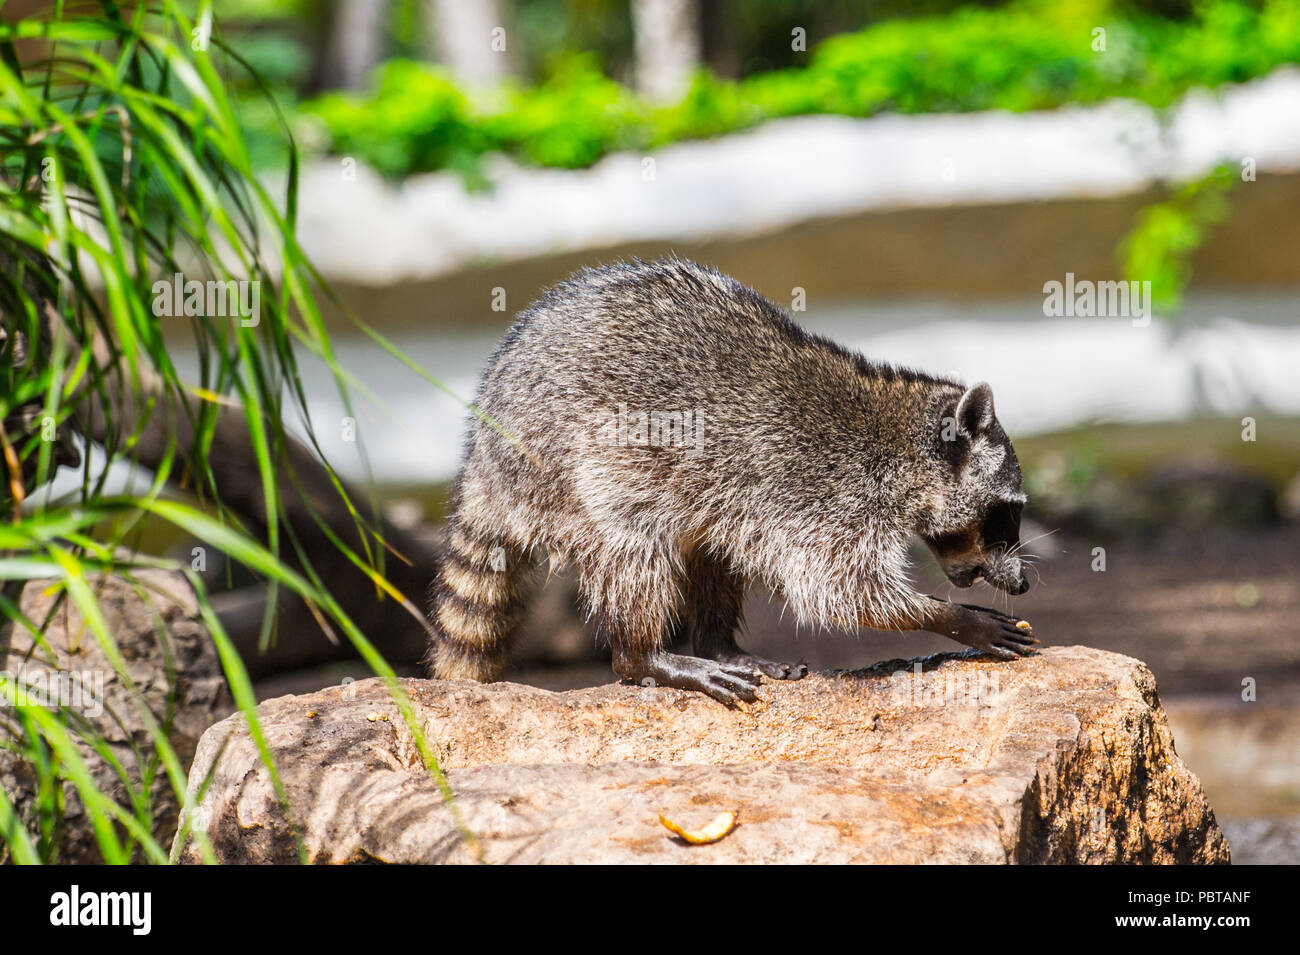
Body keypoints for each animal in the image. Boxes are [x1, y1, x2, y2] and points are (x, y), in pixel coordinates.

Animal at [427, 257, 1037, 704]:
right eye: (1007, 512)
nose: (1023, 583)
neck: (903, 444)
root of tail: (482, 447)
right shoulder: (827, 493)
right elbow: (842, 591)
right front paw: (955, 618)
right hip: (572, 468)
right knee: (634, 548)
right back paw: (646, 656)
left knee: (708, 550)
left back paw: (719, 646)